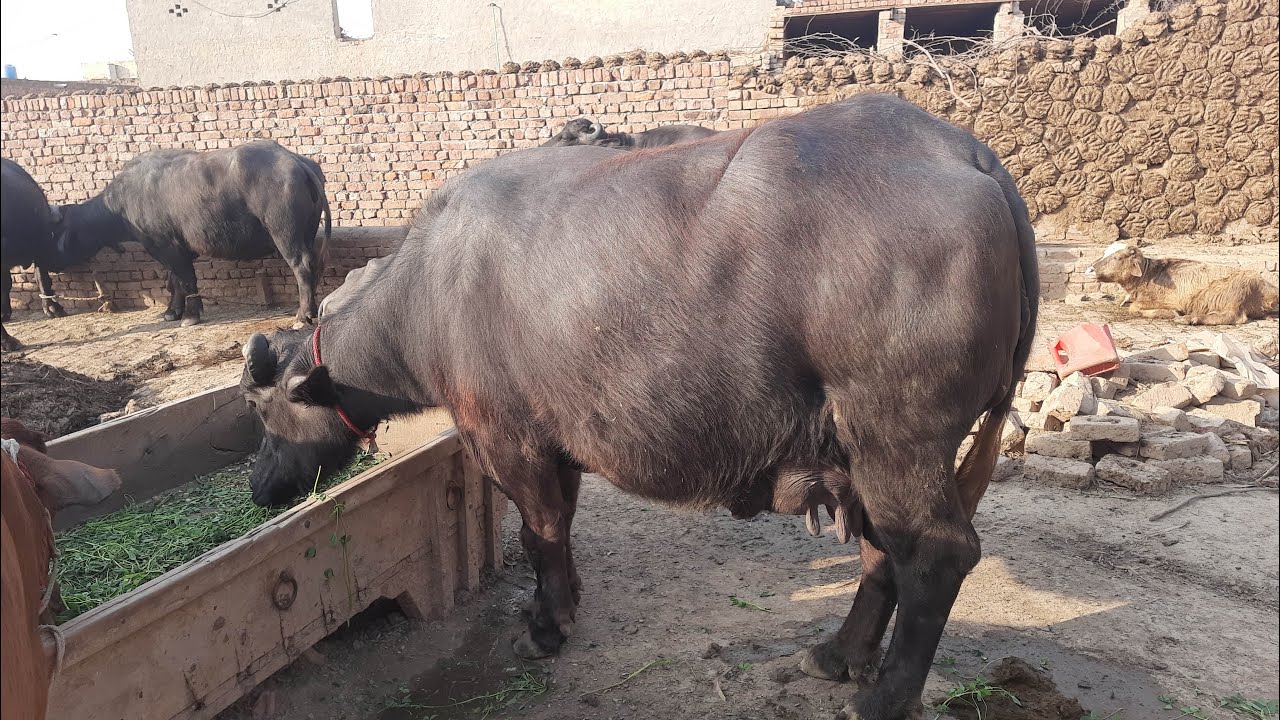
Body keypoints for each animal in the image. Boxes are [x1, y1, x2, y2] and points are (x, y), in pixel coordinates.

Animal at [51, 140, 331, 327]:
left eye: (57, 235)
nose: (53, 266)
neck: (123, 203)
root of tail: (295, 161)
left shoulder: (167, 247)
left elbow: (186, 280)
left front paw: (191, 315)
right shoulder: (175, 250)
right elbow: (174, 281)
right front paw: (172, 311)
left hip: (285, 233)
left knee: (302, 266)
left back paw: (302, 315)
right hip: (307, 231)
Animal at [239, 95, 1038, 719]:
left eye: (261, 412)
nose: (259, 486)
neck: (431, 292)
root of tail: (970, 156)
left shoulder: (508, 441)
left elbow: (538, 531)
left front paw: (545, 627)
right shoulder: (558, 444)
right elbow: (560, 529)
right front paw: (563, 600)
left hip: (899, 438)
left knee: (934, 555)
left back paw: (881, 697)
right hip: (866, 448)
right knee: (882, 549)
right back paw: (839, 655)